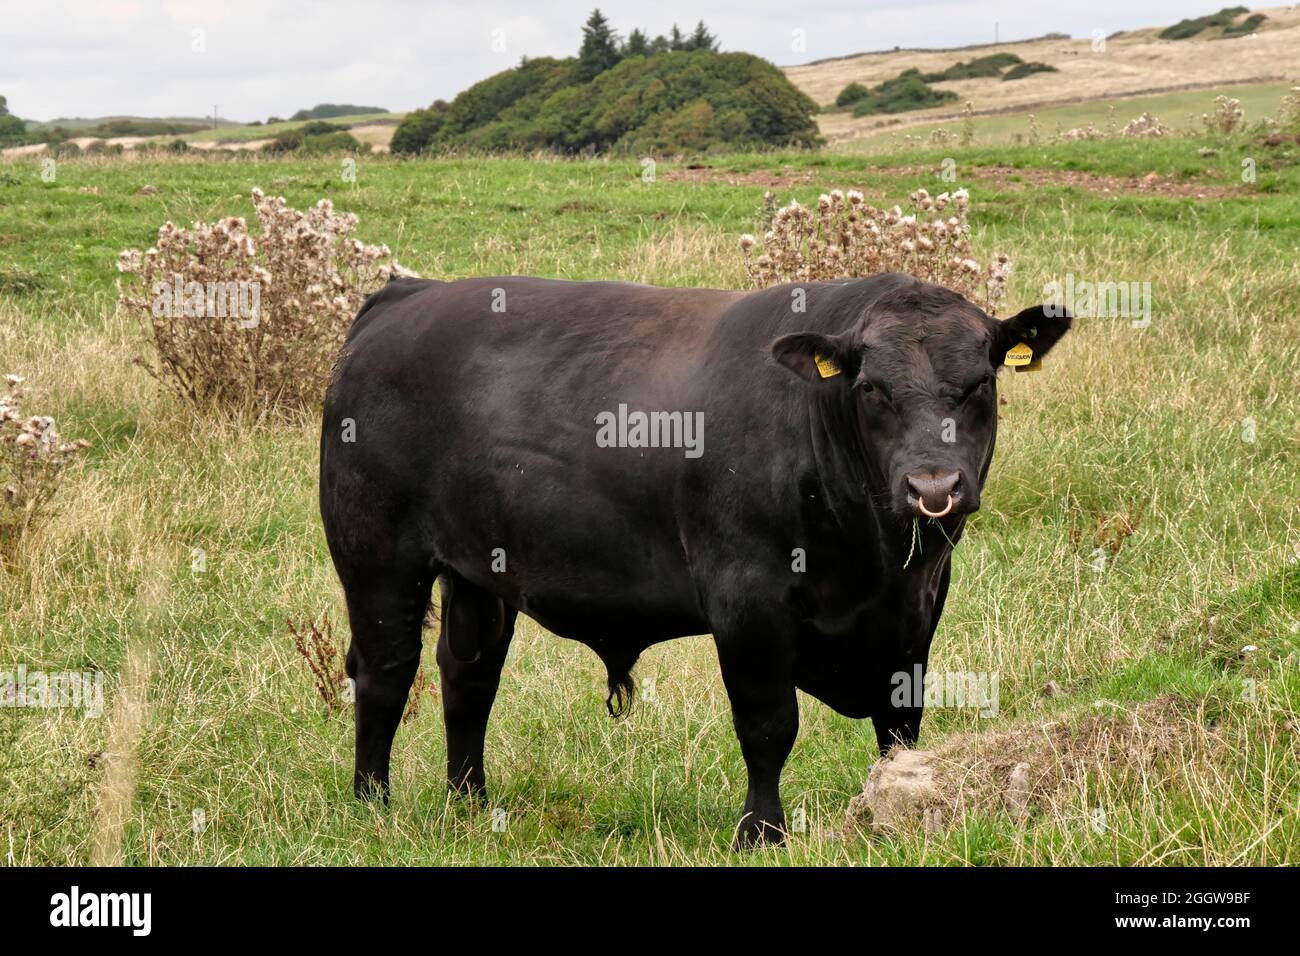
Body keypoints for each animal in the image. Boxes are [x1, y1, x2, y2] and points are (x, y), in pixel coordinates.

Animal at [318, 272, 1071, 848]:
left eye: (979, 385)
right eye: (872, 390)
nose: (933, 488)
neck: (876, 561)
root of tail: (409, 293)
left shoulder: (918, 608)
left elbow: (900, 726)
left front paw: (891, 802)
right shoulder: (748, 601)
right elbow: (769, 725)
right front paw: (761, 831)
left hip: (477, 572)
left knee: (467, 678)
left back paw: (469, 803)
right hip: (378, 560)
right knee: (386, 673)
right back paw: (371, 803)